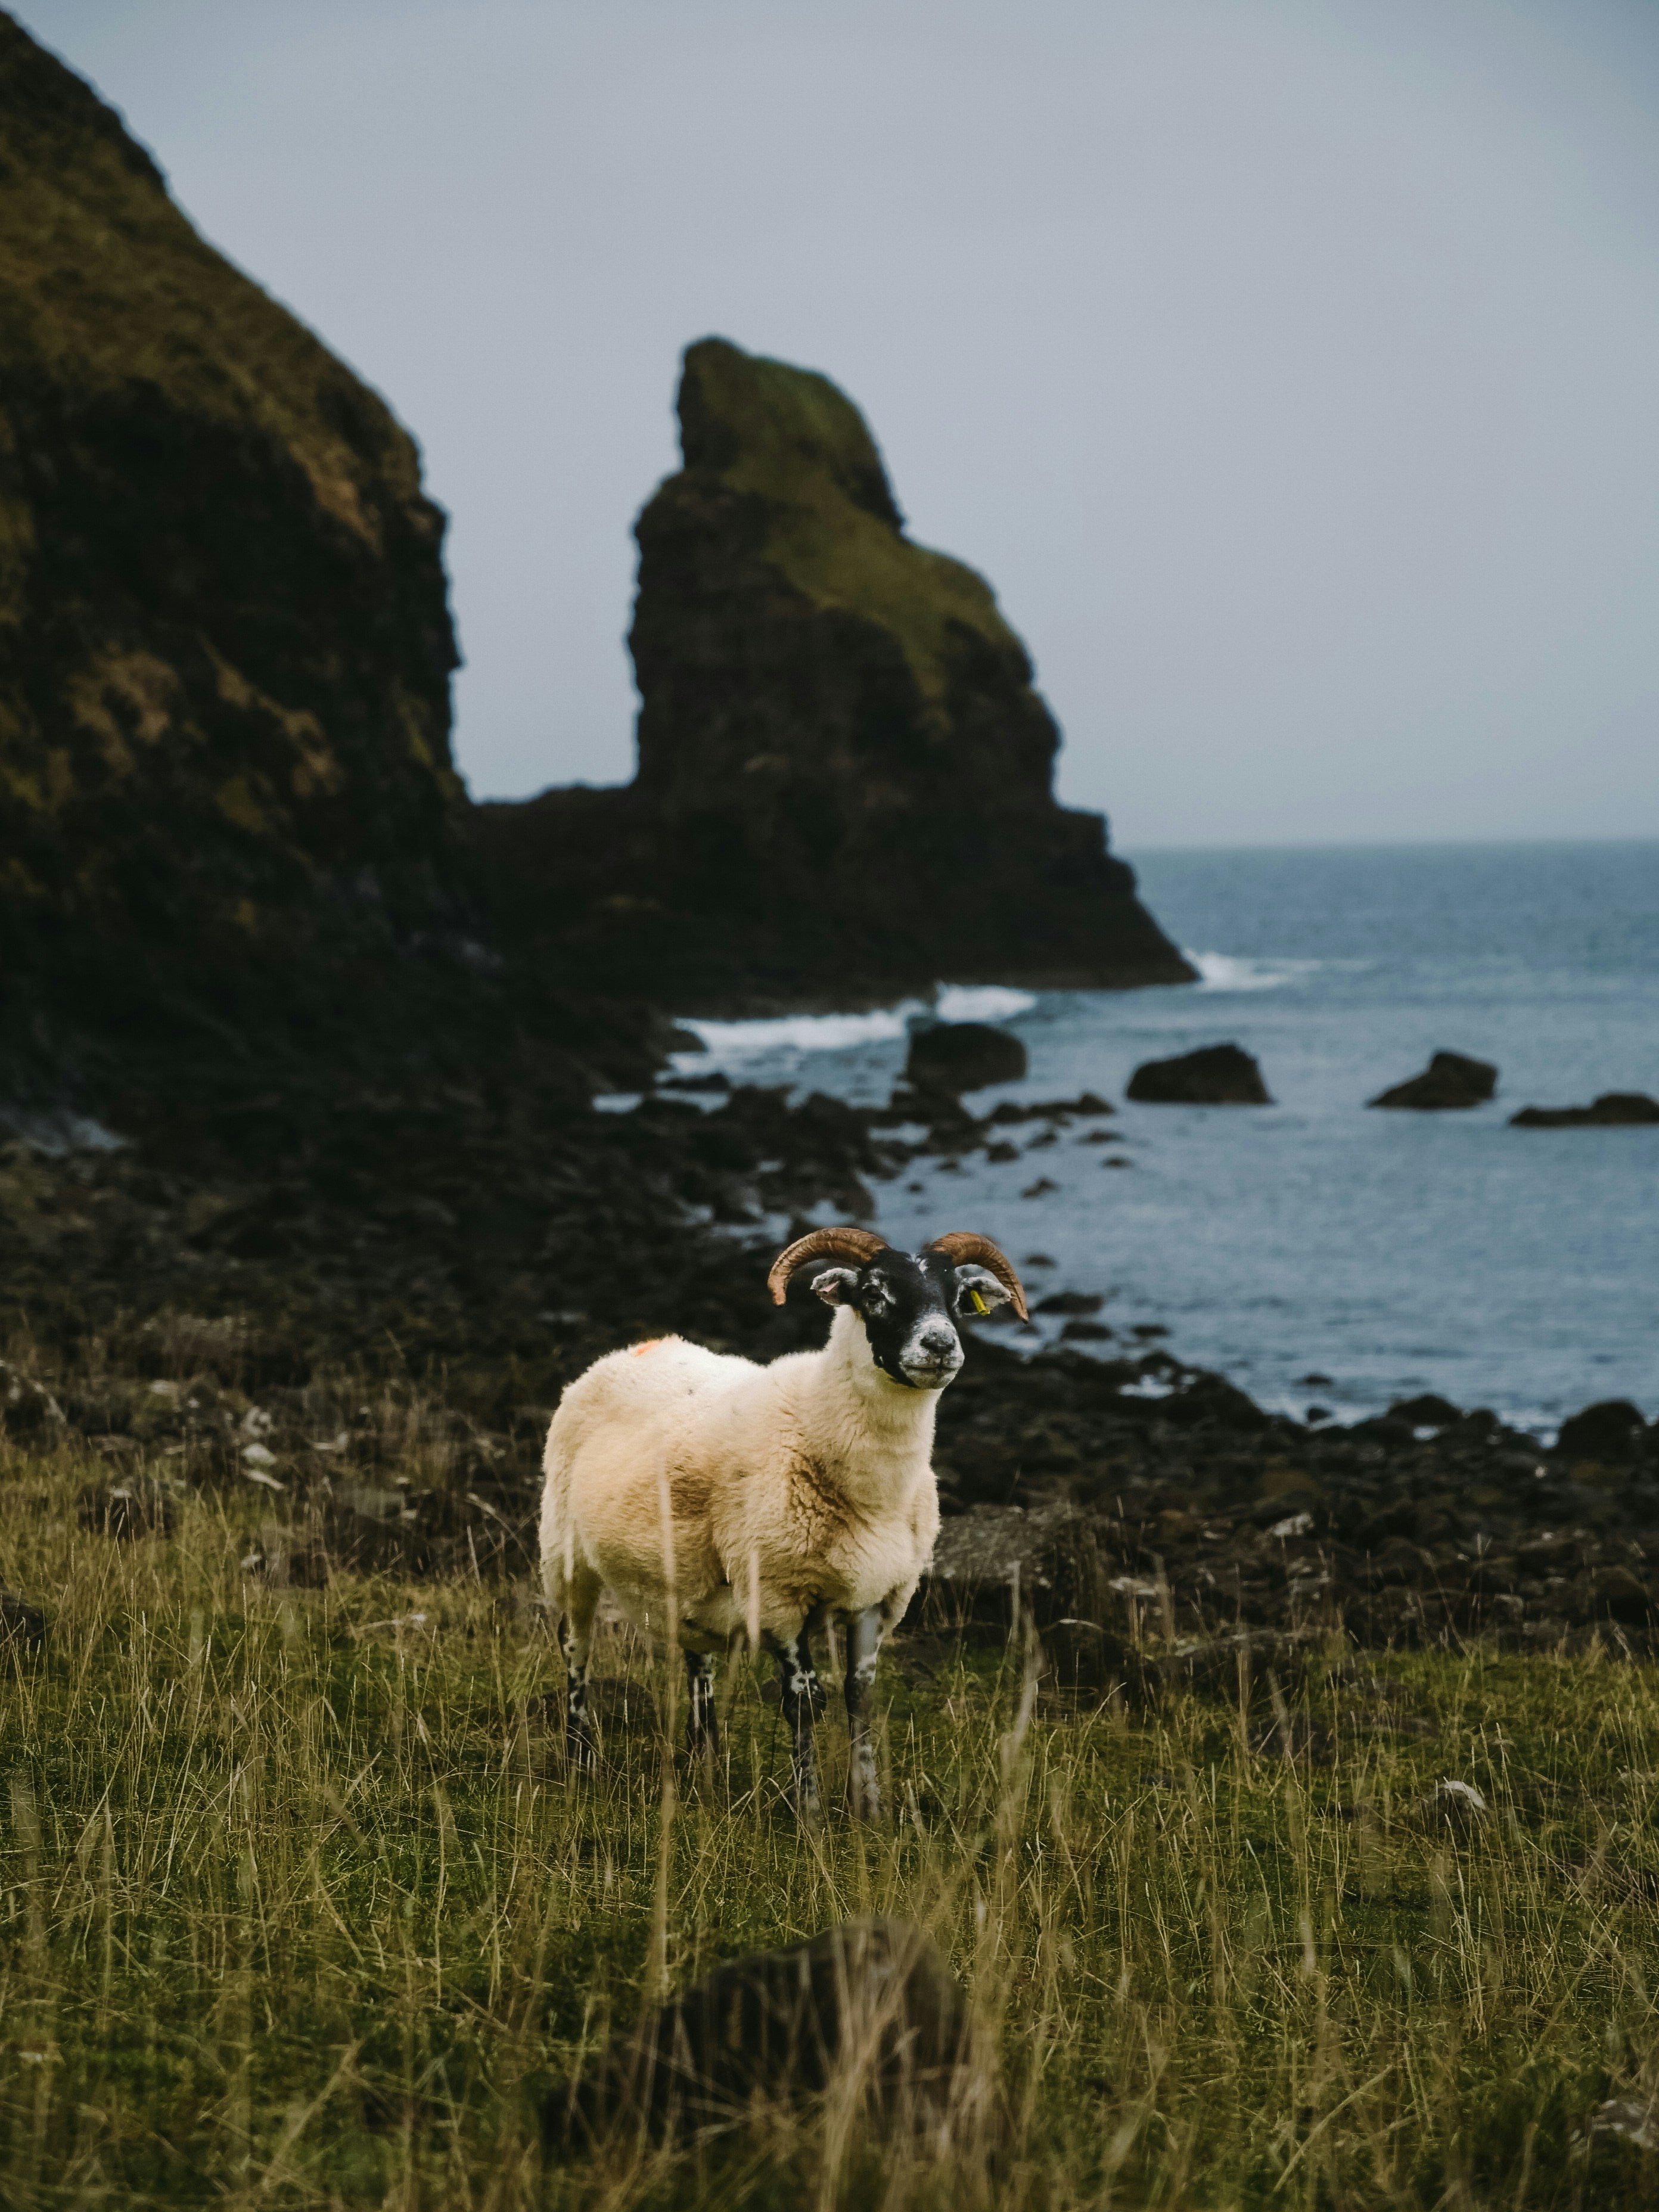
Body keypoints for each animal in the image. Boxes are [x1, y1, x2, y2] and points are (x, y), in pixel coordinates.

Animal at [539, 1226, 1029, 1817]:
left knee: (697, 1662)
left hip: (688, 1579)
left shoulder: (877, 1597)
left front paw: (871, 1814)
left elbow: (860, 1698)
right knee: (576, 1650)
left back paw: (705, 1770)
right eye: (874, 1293)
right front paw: (811, 1816)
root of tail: (632, 1349)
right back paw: (579, 1761)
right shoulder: (778, 1595)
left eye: (958, 1298)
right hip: (566, 1556)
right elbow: (804, 1702)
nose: (940, 1345)